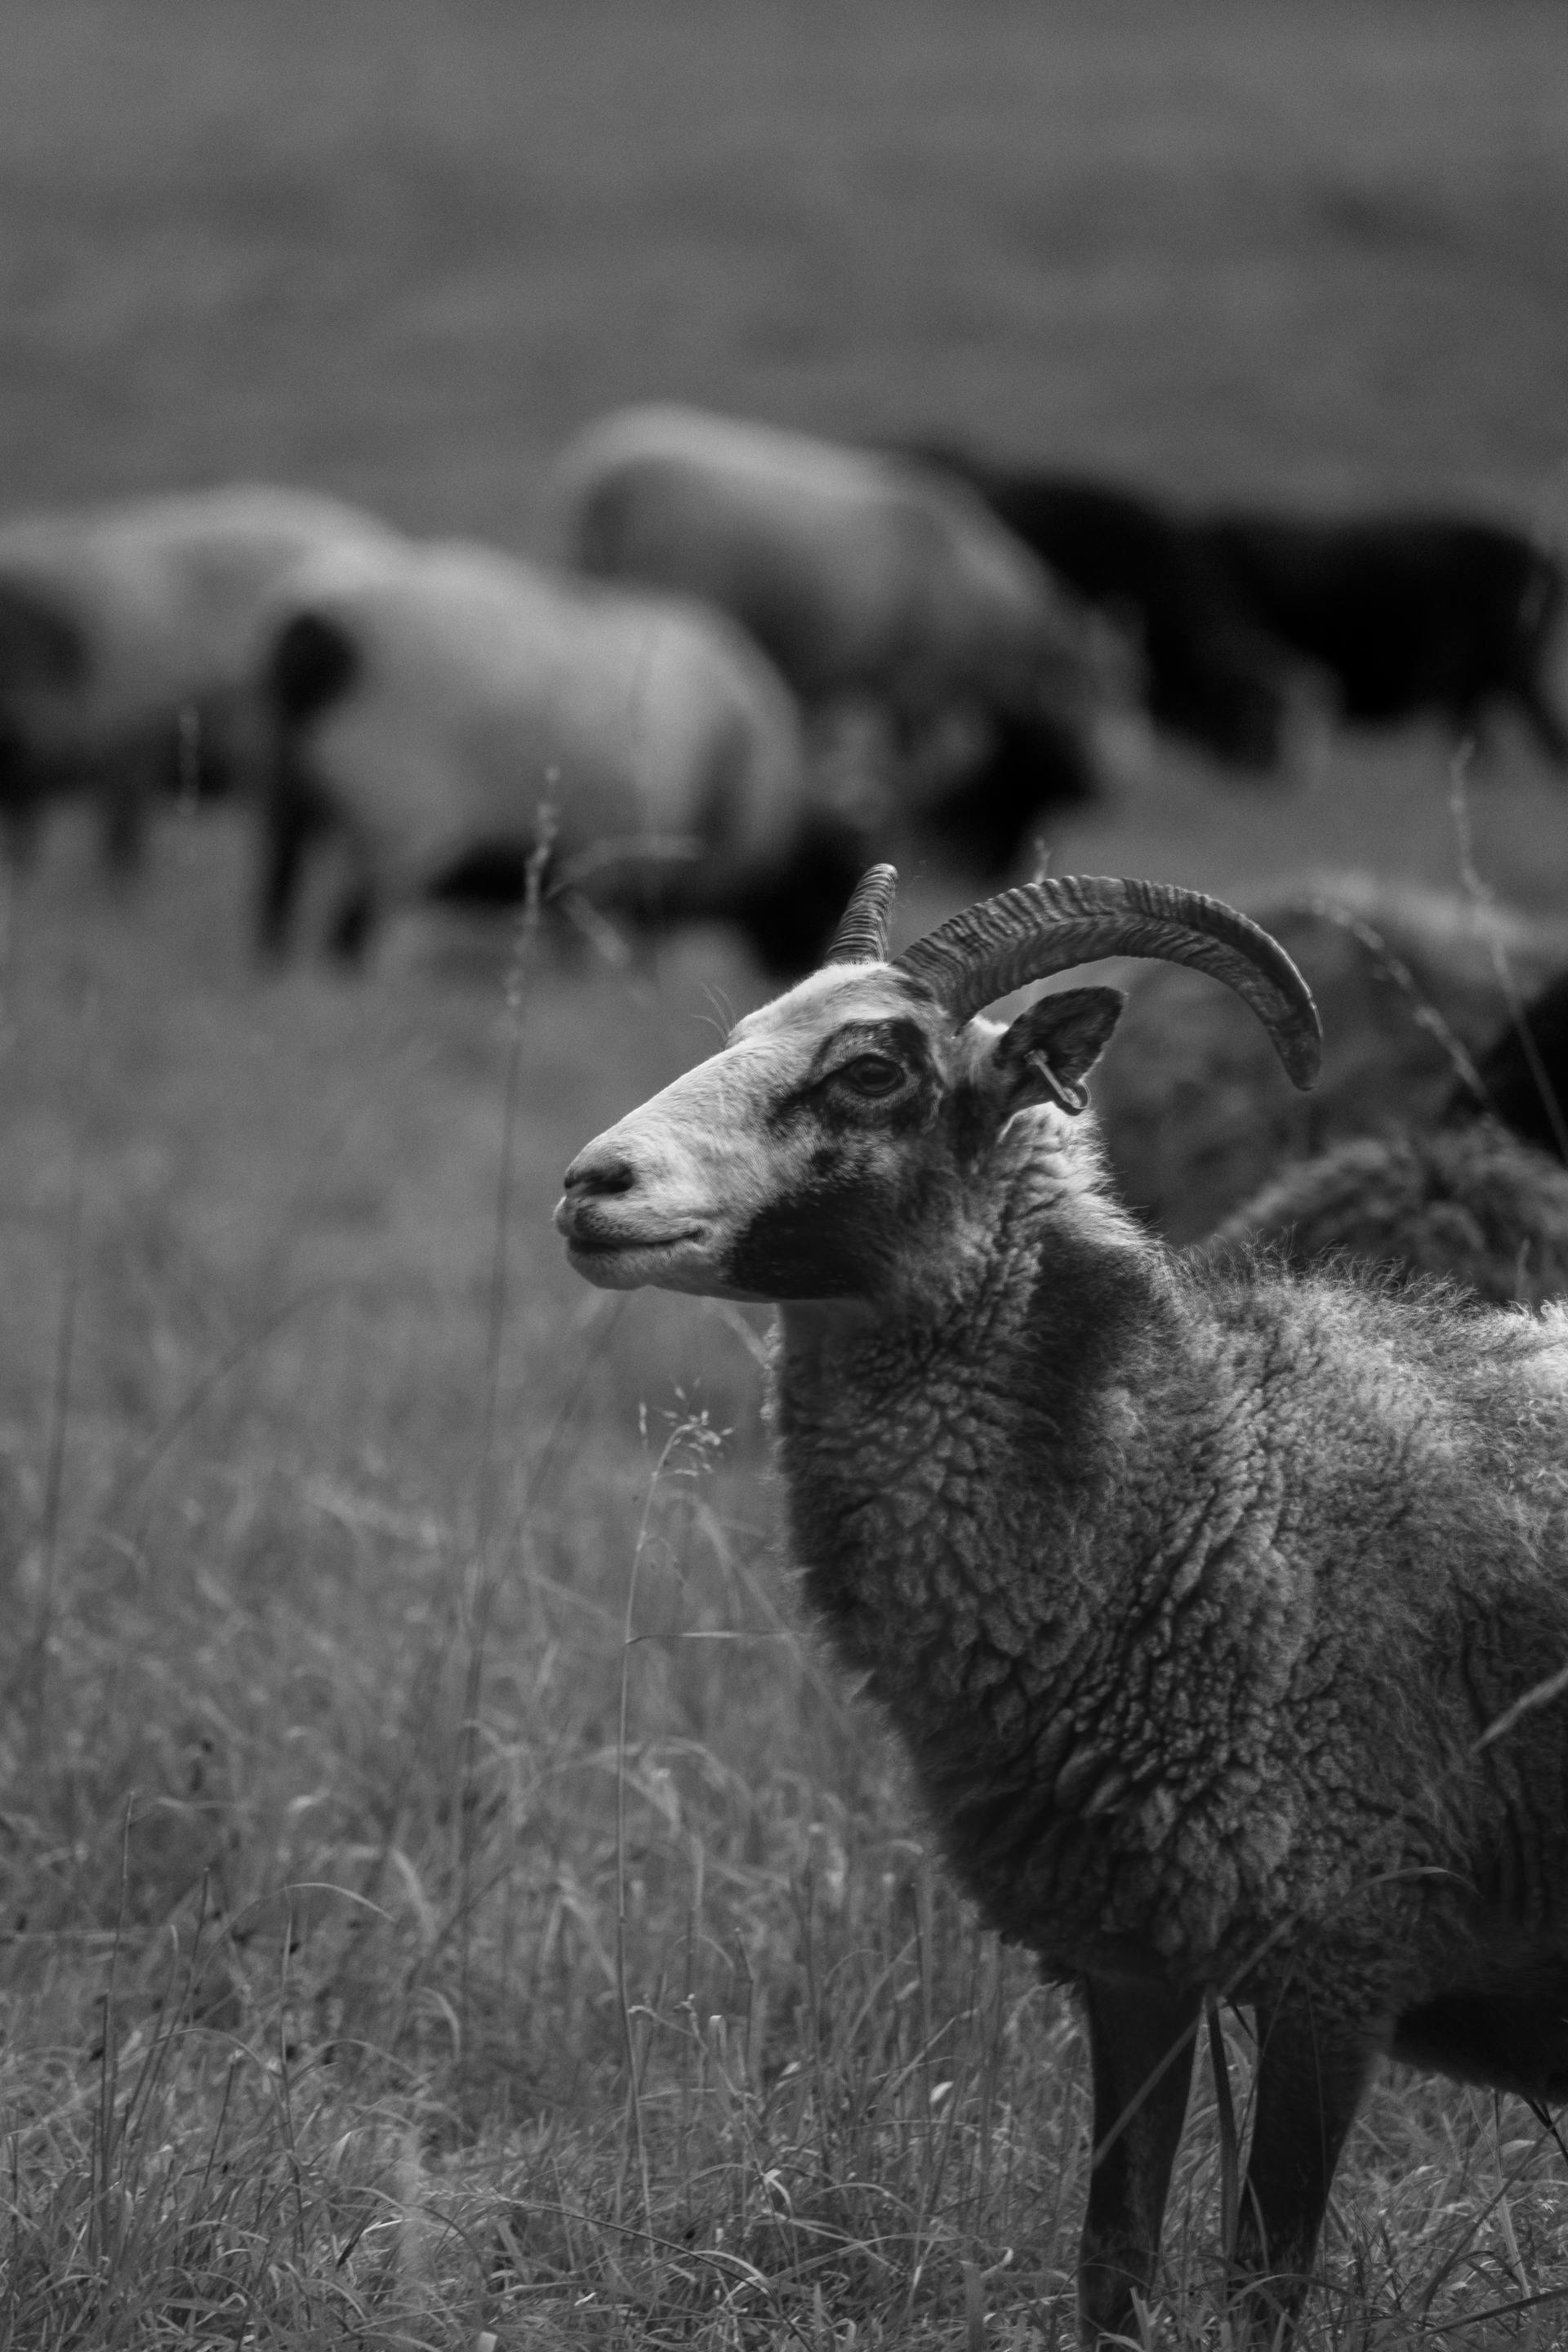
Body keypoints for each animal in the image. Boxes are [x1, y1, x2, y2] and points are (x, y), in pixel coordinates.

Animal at [559, 865, 1568, 2345]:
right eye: (745, 1028)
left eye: (873, 1070)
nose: (591, 1184)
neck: (1217, 1496)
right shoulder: (1133, 1965)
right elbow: (1113, 2260)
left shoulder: (1341, 1961)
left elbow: (1265, 2286)